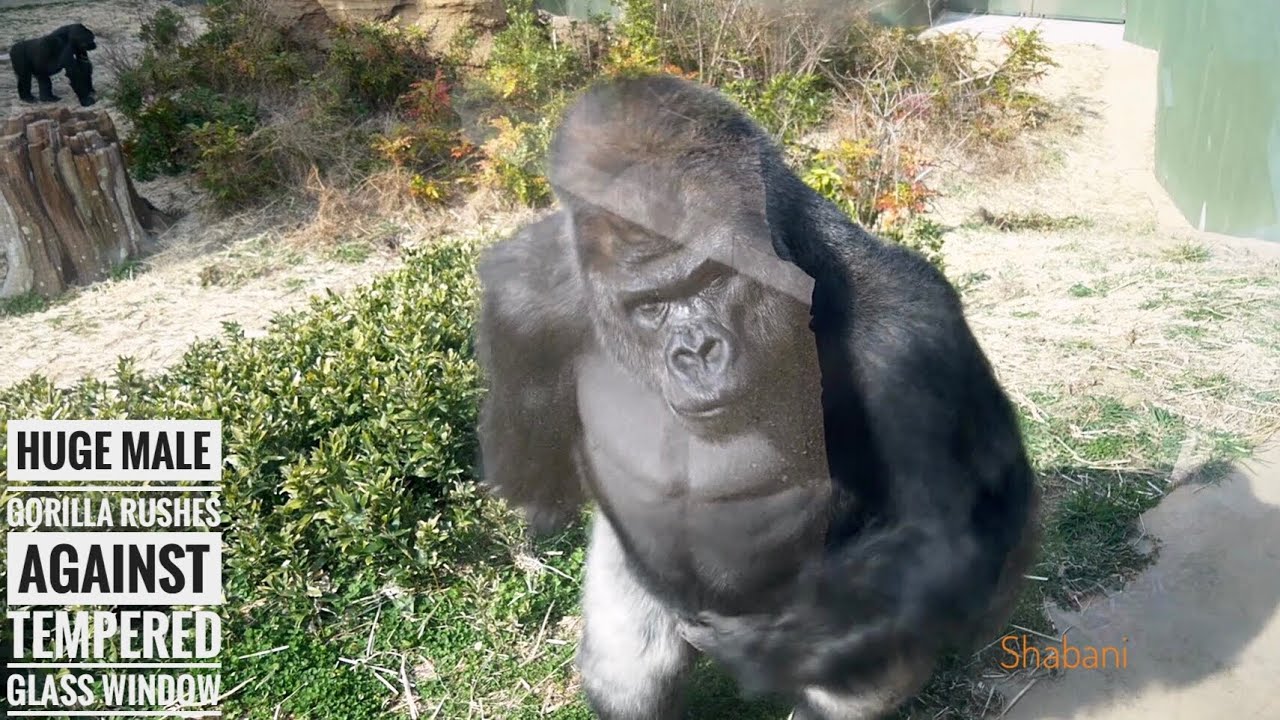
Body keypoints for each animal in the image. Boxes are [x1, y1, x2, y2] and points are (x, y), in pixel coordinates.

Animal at [473, 73, 1039, 720]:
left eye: (715, 277)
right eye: (650, 305)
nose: (696, 352)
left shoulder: (910, 335)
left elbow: (951, 536)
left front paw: (763, 648)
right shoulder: (521, 303)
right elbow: (531, 485)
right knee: (628, 669)